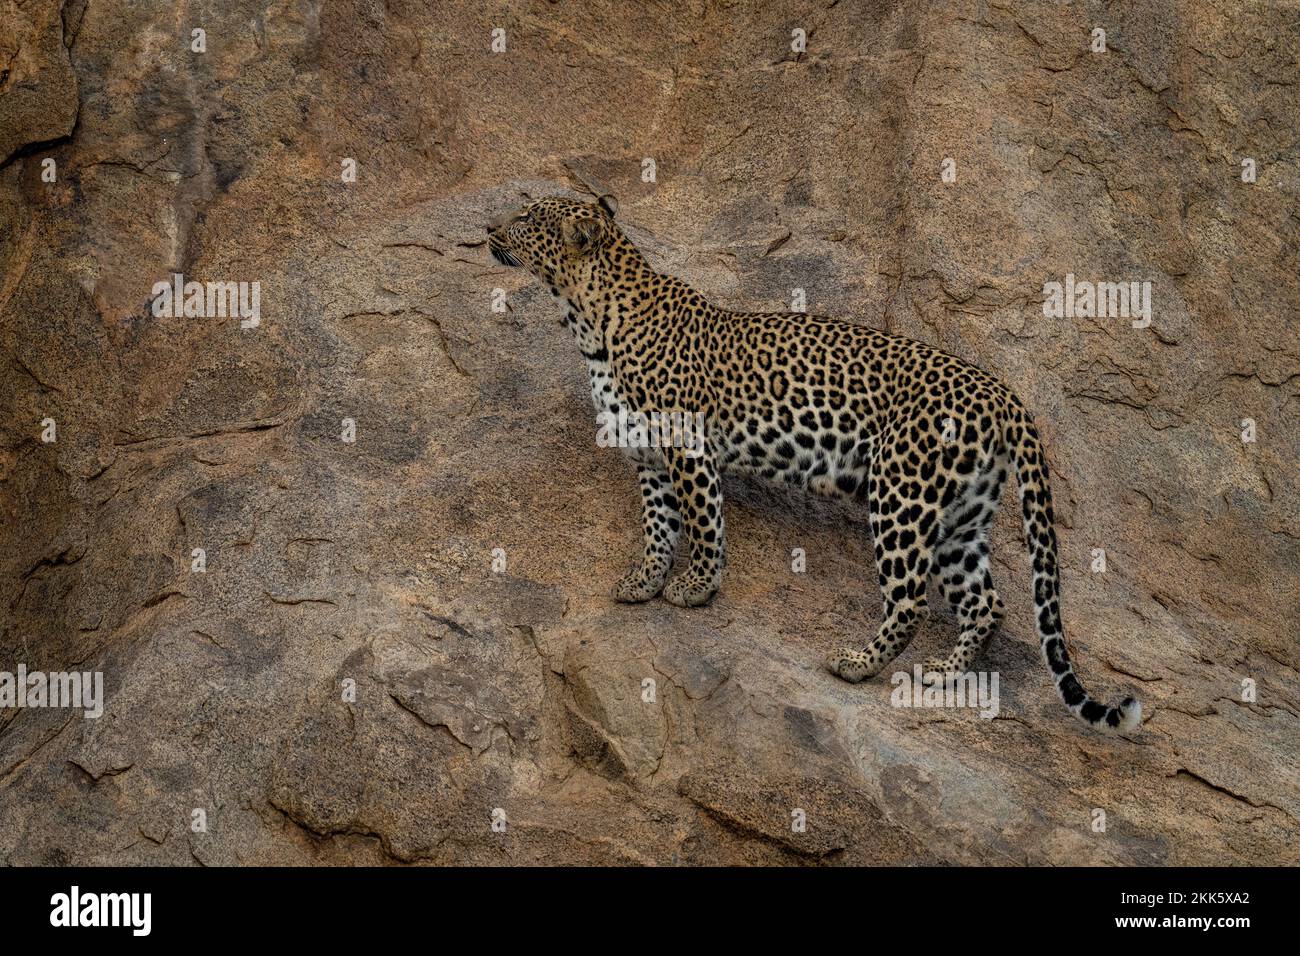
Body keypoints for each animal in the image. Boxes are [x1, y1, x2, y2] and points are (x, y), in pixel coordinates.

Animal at [486, 193, 1142, 735]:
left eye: (527, 218)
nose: (489, 227)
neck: (588, 318)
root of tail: (1004, 394)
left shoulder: (687, 447)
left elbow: (702, 523)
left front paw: (696, 589)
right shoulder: (648, 457)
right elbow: (658, 527)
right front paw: (644, 582)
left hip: (901, 493)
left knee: (910, 599)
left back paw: (857, 663)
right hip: (961, 514)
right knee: (988, 603)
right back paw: (943, 673)